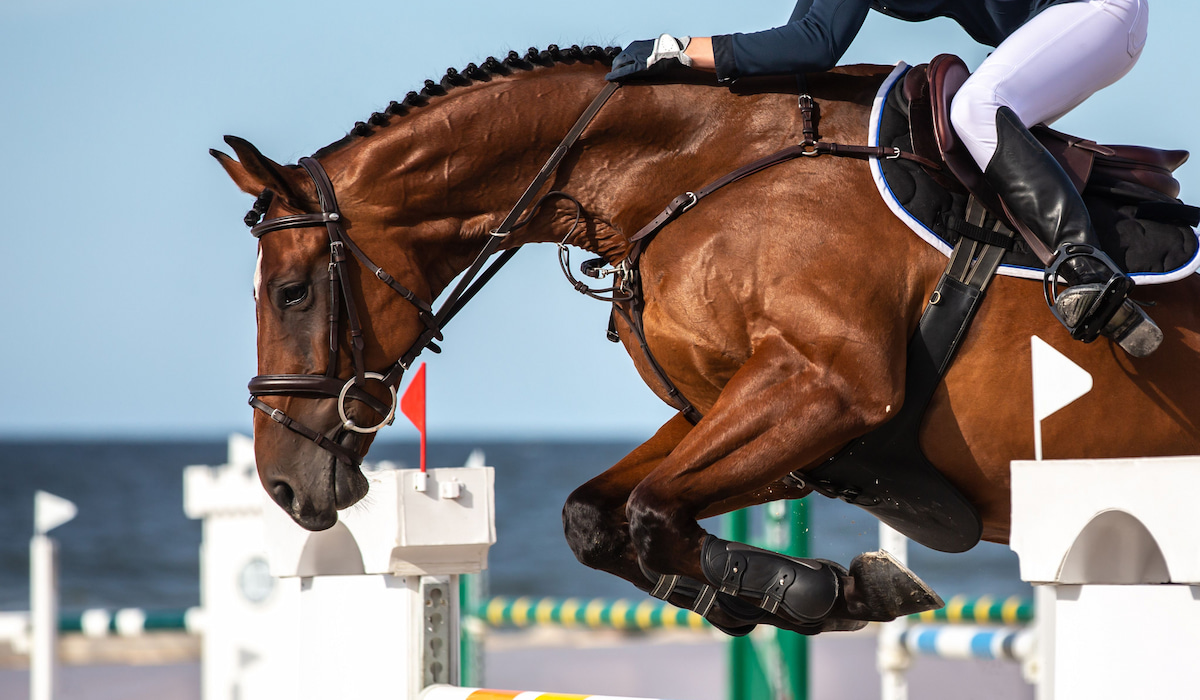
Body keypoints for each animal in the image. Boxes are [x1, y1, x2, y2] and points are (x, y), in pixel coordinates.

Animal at [212, 46, 1200, 635]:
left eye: (292, 292)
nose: (284, 483)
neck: (688, 175)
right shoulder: (766, 421)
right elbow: (598, 519)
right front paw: (797, 596)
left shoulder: (825, 391)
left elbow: (651, 514)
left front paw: (821, 591)